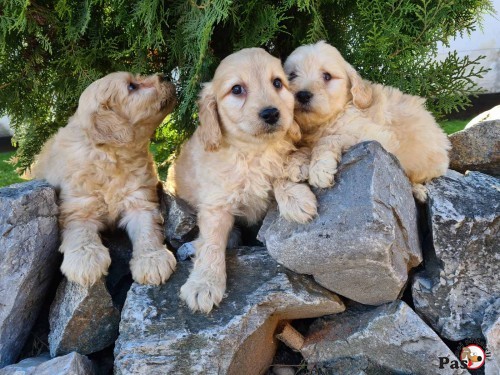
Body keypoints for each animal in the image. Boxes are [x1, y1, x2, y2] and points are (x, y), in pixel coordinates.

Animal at [30, 72, 178, 286]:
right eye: (132, 86)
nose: (165, 75)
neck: (110, 156)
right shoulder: (79, 206)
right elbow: (80, 231)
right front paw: (85, 260)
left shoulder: (139, 200)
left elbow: (147, 230)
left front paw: (152, 259)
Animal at [167, 48, 316, 316]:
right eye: (237, 89)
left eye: (277, 83)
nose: (271, 113)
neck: (253, 151)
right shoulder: (216, 204)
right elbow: (211, 243)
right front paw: (204, 283)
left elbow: (278, 173)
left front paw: (295, 197)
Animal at [284, 40, 452, 203]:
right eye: (291, 76)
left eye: (327, 76)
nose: (303, 95)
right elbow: (302, 148)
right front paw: (295, 164)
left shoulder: (376, 138)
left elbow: (327, 139)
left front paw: (319, 169)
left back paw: (418, 190)